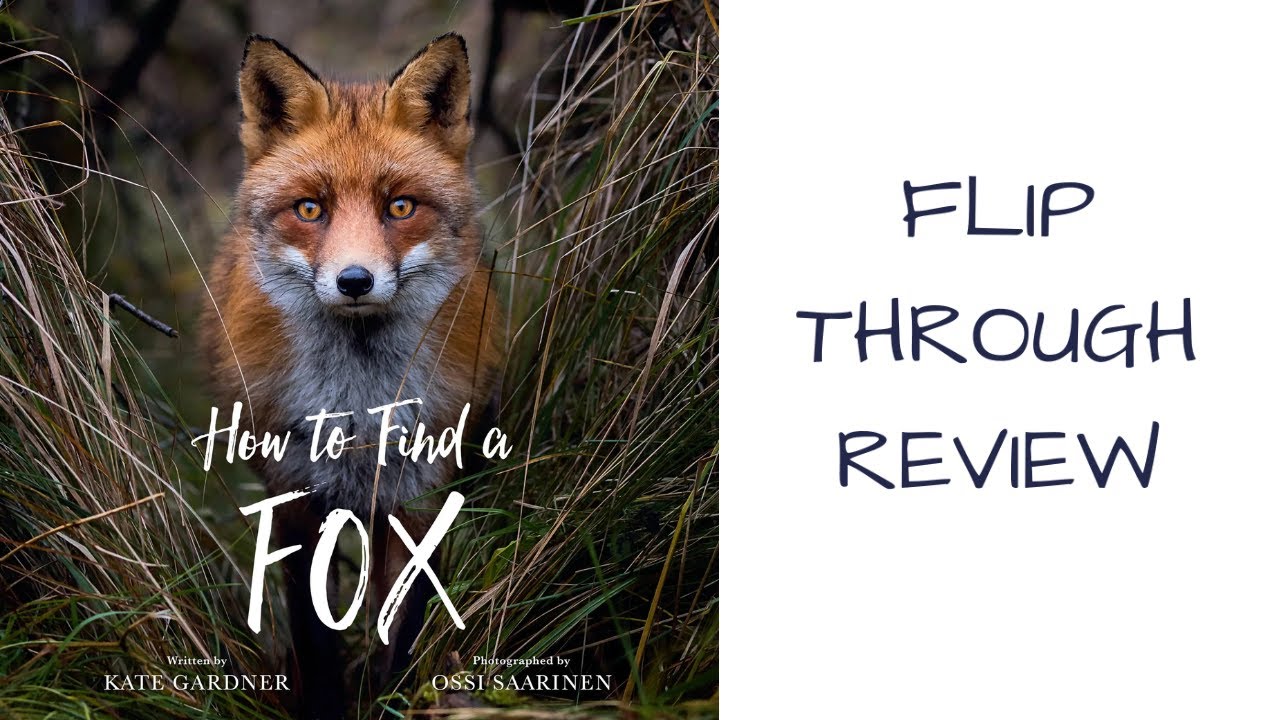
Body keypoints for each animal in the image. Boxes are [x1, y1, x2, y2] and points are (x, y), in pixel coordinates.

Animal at [200, 33, 499, 719]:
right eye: (311, 208)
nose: (355, 280)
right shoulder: (294, 494)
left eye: (400, 207)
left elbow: (401, 625)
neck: (359, 408)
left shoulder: (418, 495)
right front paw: (327, 705)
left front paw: (390, 697)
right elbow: (315, 634)